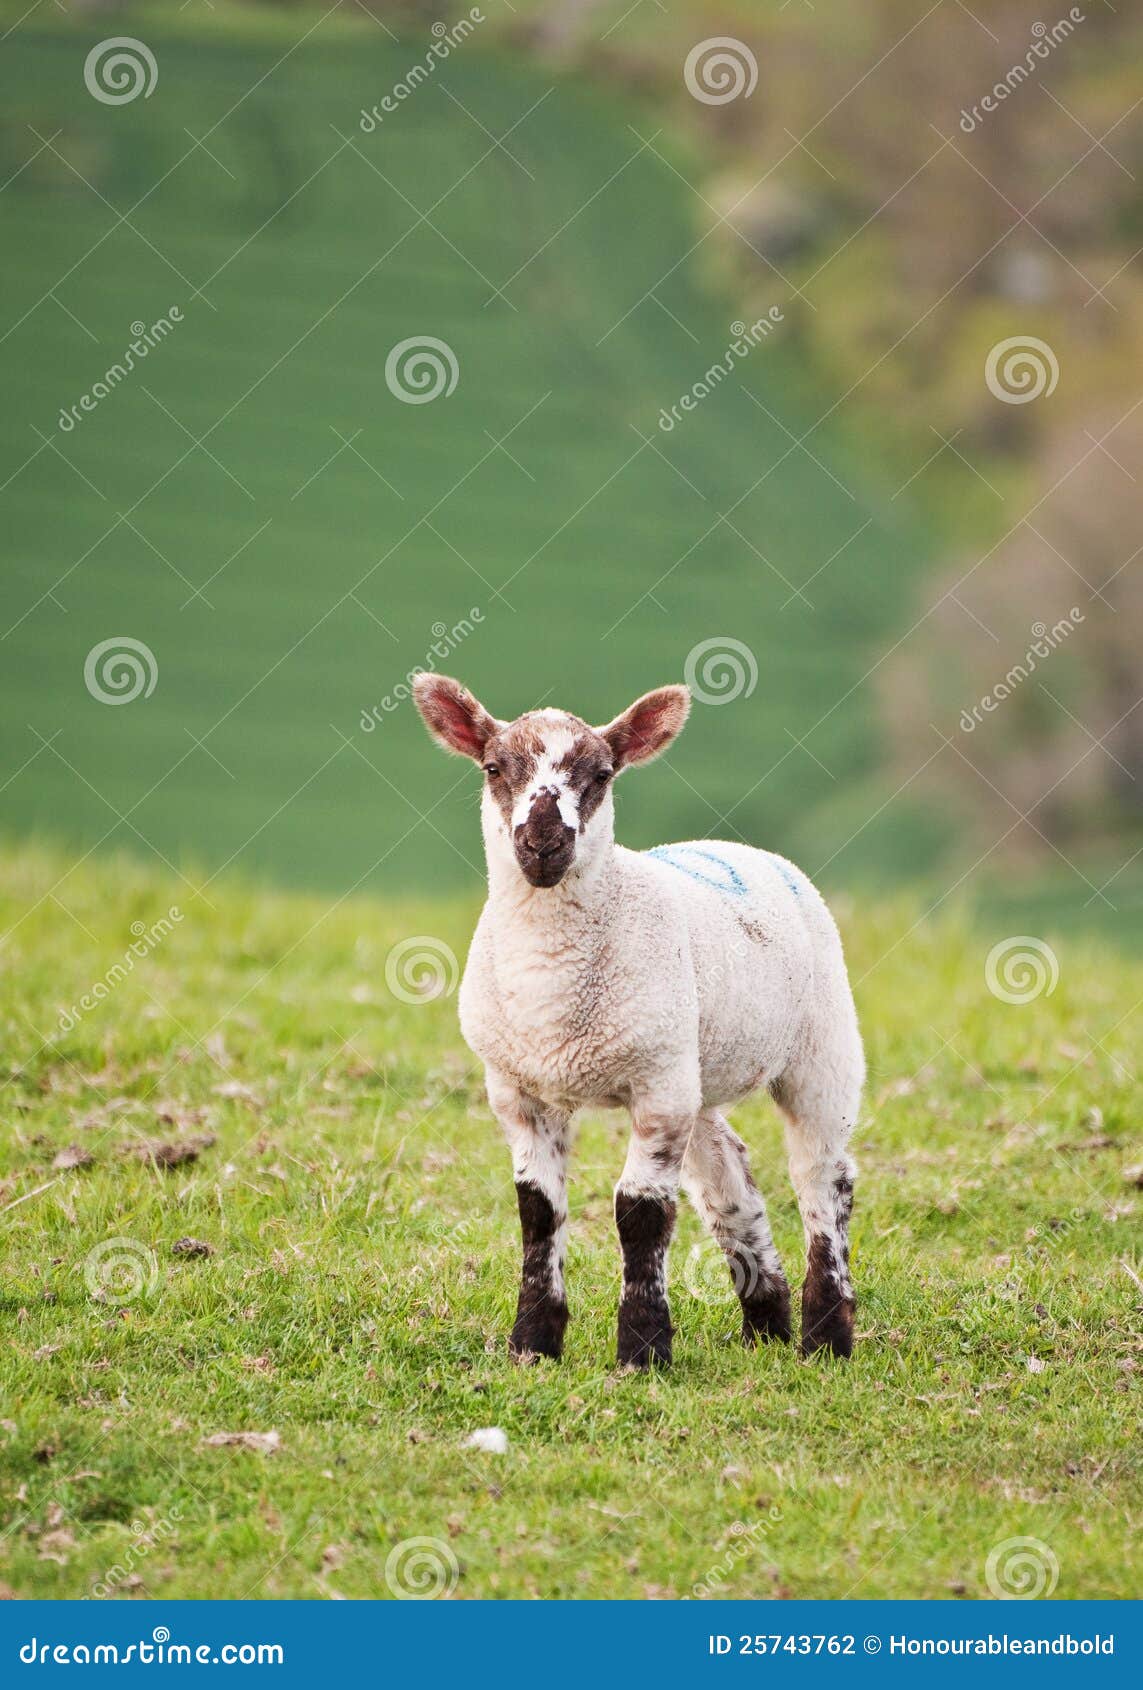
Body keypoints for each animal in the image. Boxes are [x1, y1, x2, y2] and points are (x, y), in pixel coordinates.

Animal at [412, 674, 865, 1368]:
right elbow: (538, 1210)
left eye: (602, 774)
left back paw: (825, 1335)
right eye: (493, 768)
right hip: (695, 1066)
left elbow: (640, 1212)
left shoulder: (655, 1086)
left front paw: (643, 1348)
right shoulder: (516, 1088)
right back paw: (766, 1323)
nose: (543, 843)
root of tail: (738, 847)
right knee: (728, 1174)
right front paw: (533, 1343)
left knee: (823, 1176)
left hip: (820, 1041)